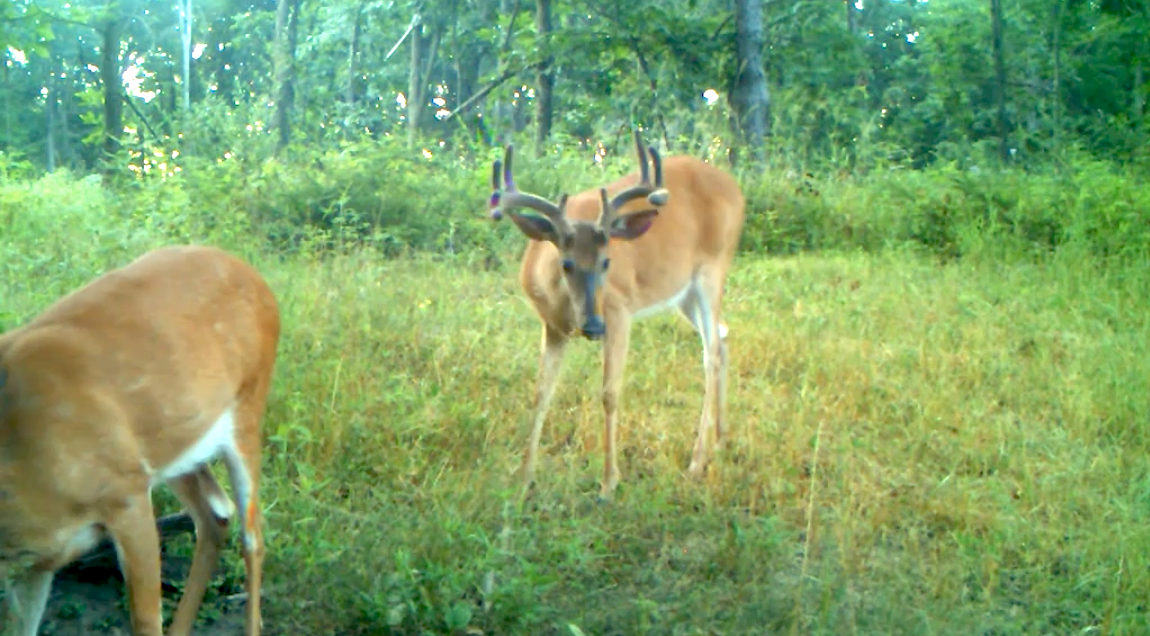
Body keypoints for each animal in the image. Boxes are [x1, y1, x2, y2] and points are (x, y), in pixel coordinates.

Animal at [0, 245, 280, 636]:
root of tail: (255, 276)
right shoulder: (36, 562)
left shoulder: (125, 493)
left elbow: (145, 619)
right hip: (173, 443)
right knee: (215, 514)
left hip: (247, 408)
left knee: (252, 536)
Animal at [487, 130, 746, 501]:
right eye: (566, 263)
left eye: (607, 261)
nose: (594, 326)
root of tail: (735, 186)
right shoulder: (552, 326)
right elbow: (541, 393)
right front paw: (524, 476)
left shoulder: (619, 311)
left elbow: (609, 393)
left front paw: (609, 482)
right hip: (681, 292)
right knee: (723, 336)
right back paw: (721, 441)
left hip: (713, 269)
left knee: (709, 354)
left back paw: (697, 463)